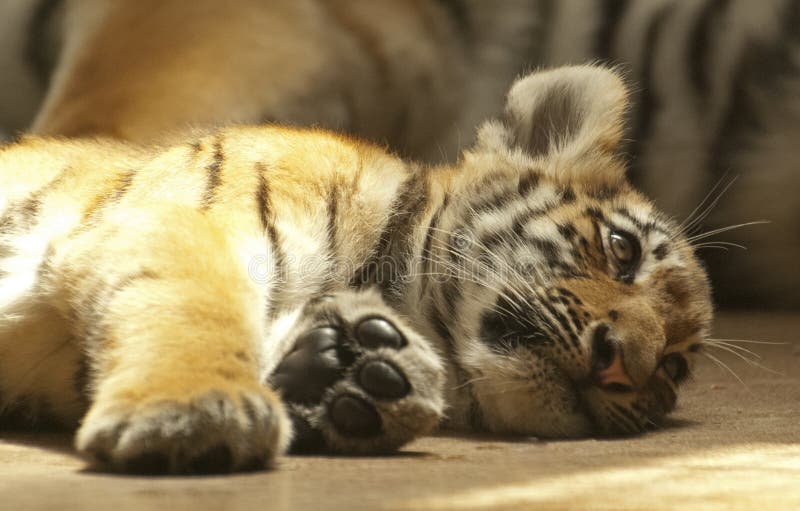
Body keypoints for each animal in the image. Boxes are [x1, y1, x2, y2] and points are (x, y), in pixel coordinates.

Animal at [0, 65, 713, 474]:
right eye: (622, 249)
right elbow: (192, 306)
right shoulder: (183, 222)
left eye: (673, 369)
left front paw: (353, 375)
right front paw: (198, 412)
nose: (625, 365)